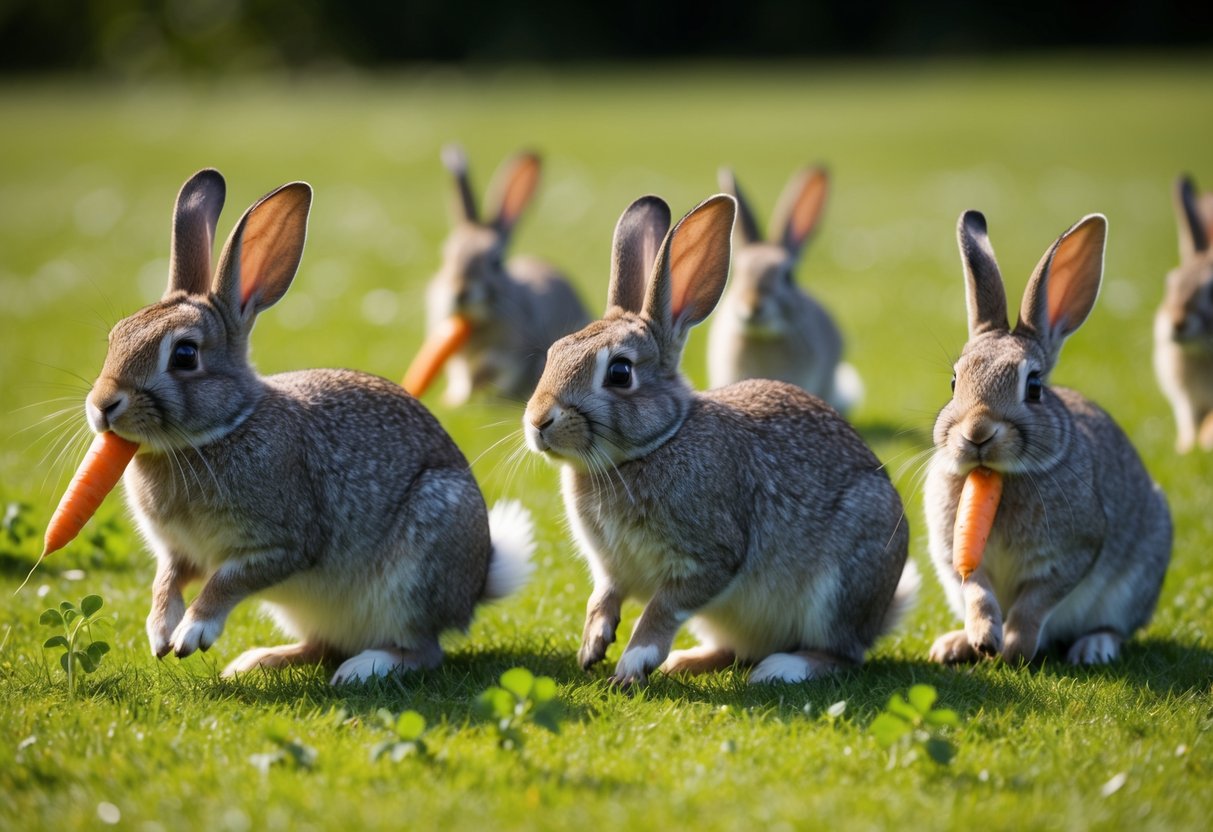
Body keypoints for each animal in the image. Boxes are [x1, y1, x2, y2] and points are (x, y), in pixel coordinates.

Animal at [85, 169, 535, 685]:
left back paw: (362, 668)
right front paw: (160, 632)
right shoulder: (180, 553)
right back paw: (257, 661)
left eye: (184, 355)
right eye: (115, 336)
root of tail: (476, 585)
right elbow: (168, 580)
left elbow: (226, 581)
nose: (102, 406)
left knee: (421, 650)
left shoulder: (285, 544)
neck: (222, 429)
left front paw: (192, 633)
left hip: (417, 566)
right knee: (322, 645)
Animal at [426, 144, 588, 406]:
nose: (460, 292)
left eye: (496, 262)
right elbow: (463, 380)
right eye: (446, 255)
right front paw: (455, 400)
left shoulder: (512, 356)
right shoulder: (459, 362)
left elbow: (502, 374)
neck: (476, 323)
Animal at [523, 192, 916, 687]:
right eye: (554, 352)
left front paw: (632, 663)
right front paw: (593, 644)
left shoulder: (710, 558)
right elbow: (605, 596)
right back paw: (686, 660)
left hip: (843, 581)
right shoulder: (611, 569)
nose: (538, 421)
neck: (652, 446)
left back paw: (780, 668)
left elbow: (662, 608)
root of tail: (879, 616)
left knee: (841, 654)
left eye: (620, 373)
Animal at [924, 210, 1171, 667]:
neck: (997, 477)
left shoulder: (1074, 553)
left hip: (1137, 577)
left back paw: (1093, 648)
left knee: (1115, 626)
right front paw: (984, 639)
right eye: (953, 382)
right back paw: (954, 644)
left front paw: (1016, 648)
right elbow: (977, 592)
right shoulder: (957, 556)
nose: (977, 432)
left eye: (1034, 387)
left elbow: (1033, 604)